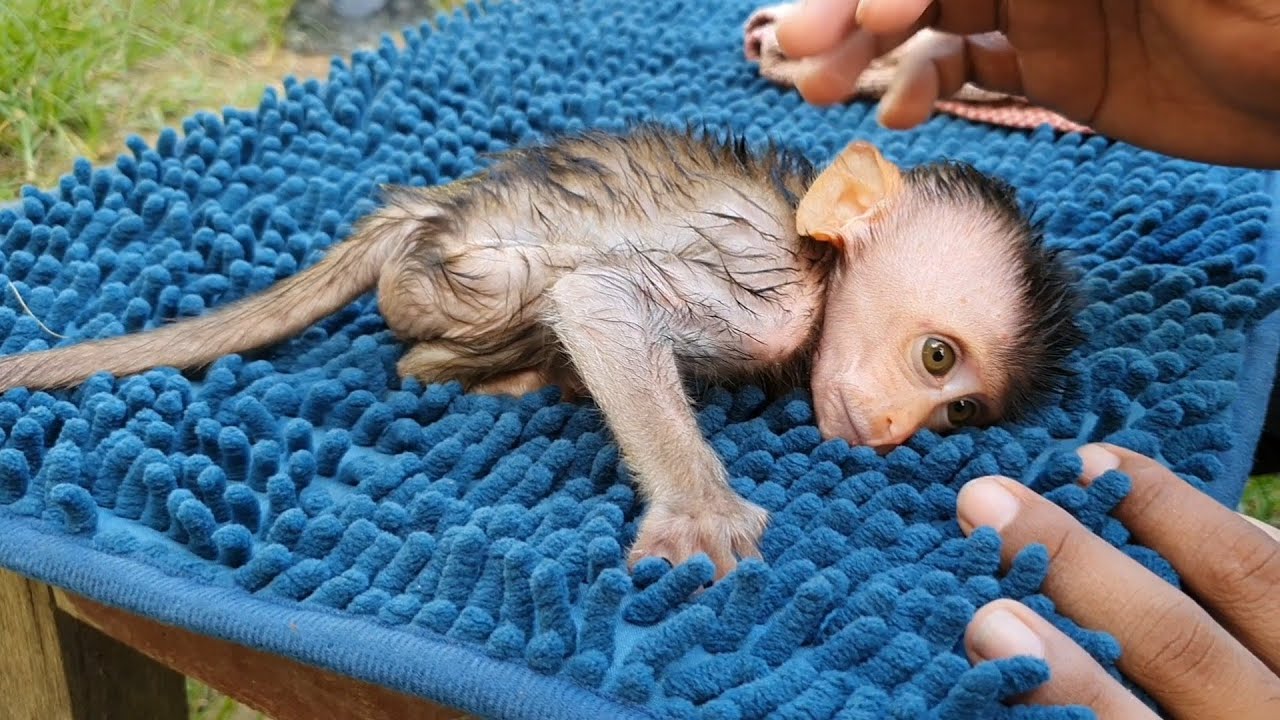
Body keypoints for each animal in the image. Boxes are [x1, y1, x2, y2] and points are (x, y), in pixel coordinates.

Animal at [0, 123, 1083, 580]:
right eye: (936, 358)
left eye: (958, 410)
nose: (901, 426)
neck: (813, 262)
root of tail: (425, 211)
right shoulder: (762, 293)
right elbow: (601, 299)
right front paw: (697, 508)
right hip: (453, 277)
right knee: (470, 324)